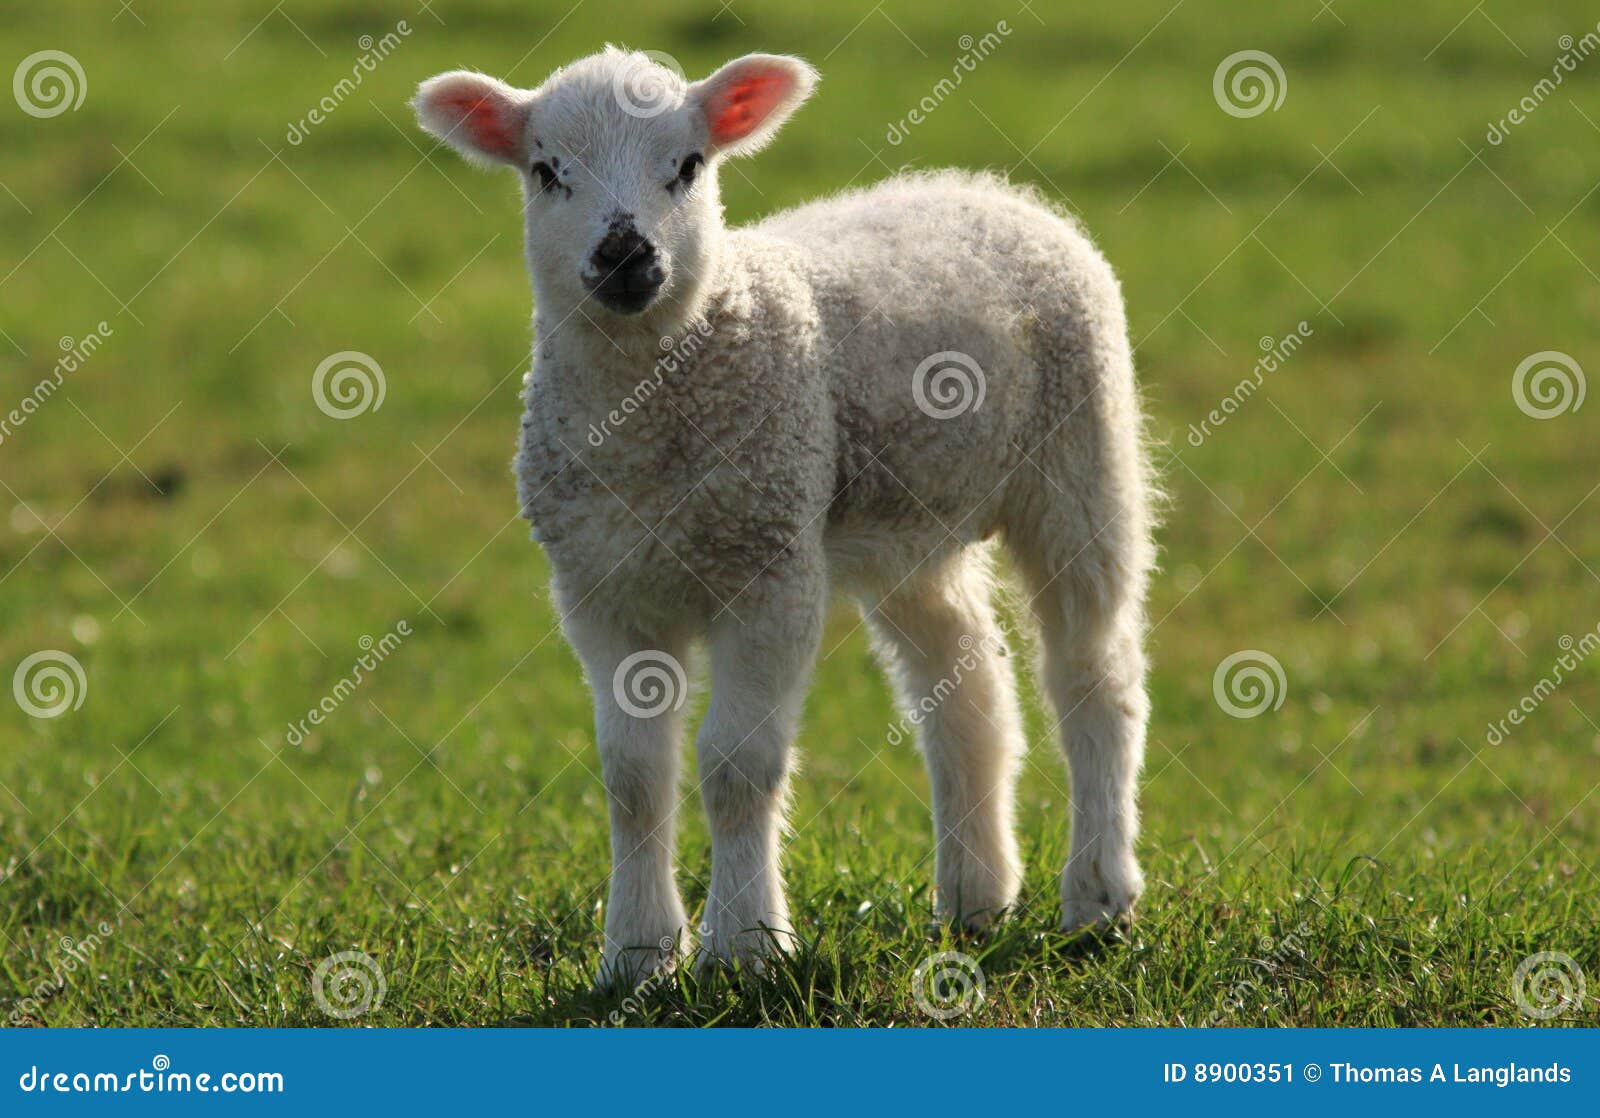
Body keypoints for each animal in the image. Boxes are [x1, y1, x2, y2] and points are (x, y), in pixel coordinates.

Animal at [414, 47, 1156, 988]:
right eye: (547, 172)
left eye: (688, 166)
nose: (626, 255)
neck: (645, 423)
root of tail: (992, 191)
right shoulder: (599, 588)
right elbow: (633, 776)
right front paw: (637, 954)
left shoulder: (770, 568)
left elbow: (737, 766)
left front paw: (744, 950)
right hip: (909, 520)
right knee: (965, 682)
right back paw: (975, 898)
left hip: (1081, 454)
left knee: (1095, 676)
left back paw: (1097, 896)